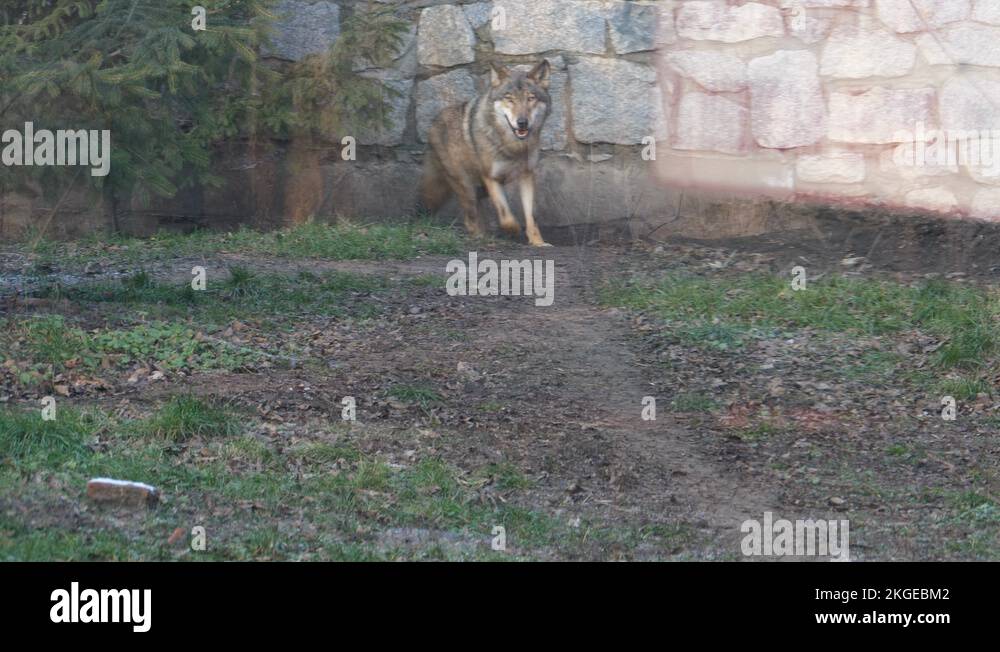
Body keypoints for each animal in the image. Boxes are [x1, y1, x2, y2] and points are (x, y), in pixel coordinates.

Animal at [420, 60, 552, 247]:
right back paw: (480, 237)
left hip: (479, 189)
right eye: (509, 99)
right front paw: (513, 230)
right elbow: (505, 216)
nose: (522, 123)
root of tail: (433, 123)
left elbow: (531, 217)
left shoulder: (526, 176)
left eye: (530, 98)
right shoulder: (491, 177)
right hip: (465, 185)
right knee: (470, 217)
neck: (513, 146)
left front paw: (538, 242)